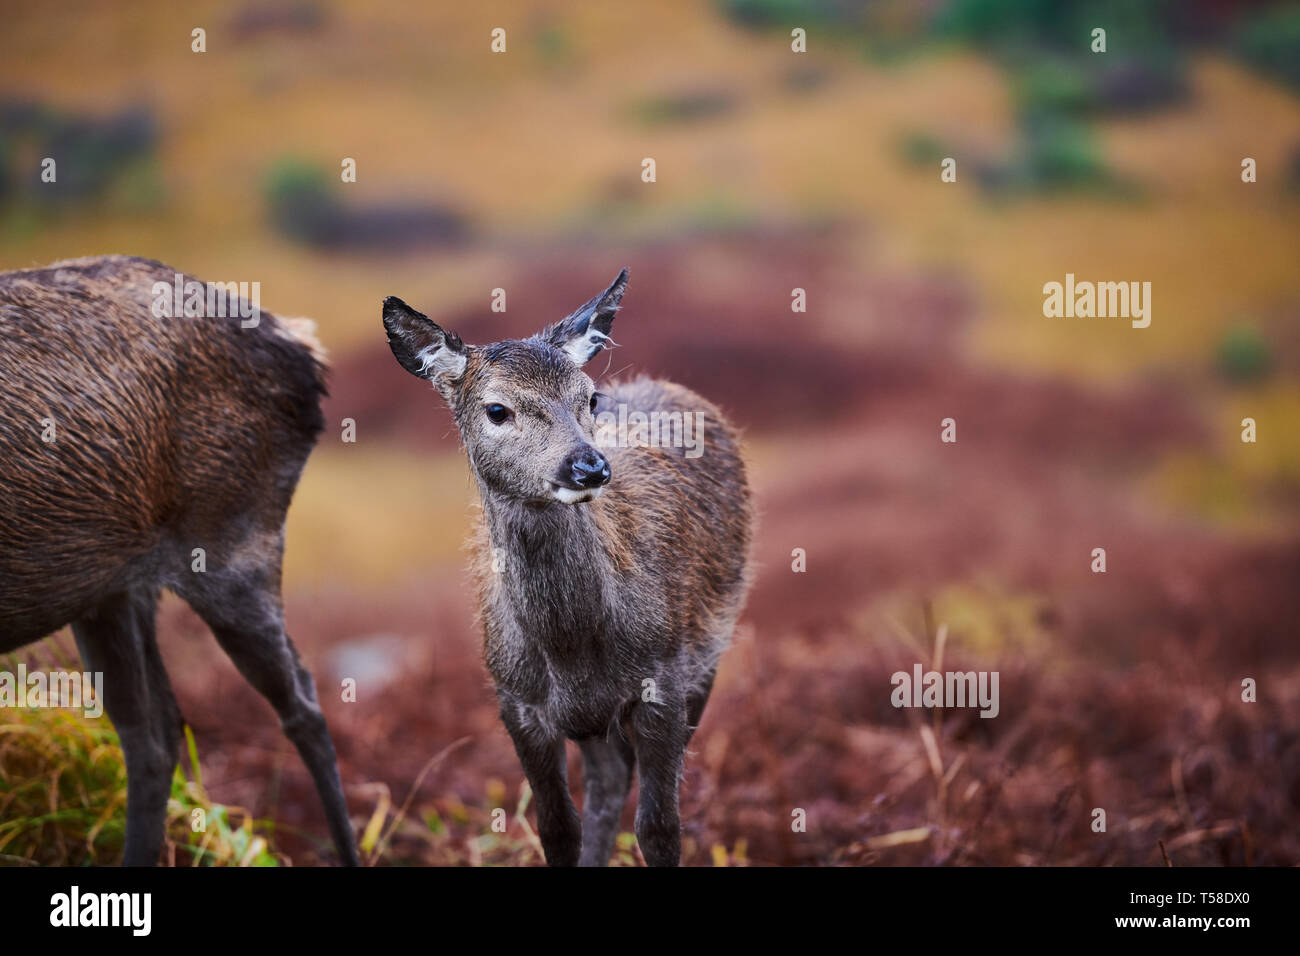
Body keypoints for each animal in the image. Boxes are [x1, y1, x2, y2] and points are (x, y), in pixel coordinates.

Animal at [382, 268, 754, 866]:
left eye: (589, 396)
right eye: (497, 409)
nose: (588, 466)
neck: (570, 646)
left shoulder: (666, 679)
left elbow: (660, 829)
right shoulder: (516, 703)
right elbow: (556, 828)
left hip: (709, 649)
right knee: (607, 781)